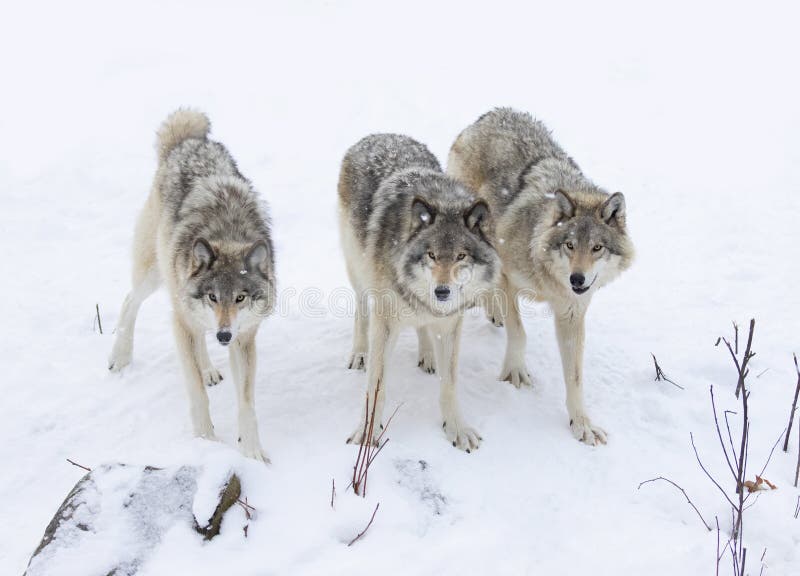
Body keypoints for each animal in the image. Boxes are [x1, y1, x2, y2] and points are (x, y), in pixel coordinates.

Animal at [108, 109, 276, 462]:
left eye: (240, 298)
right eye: (213, 296)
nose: (223, 335)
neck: (226, 232)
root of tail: (187, 140)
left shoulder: (244, 338)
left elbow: (247, 403)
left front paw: (252, 451)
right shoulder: (181, 323)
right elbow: (196, 391)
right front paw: (205, 441)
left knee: (200, 339)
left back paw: (210, 369)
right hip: (156, 275)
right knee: (130, 299)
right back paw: (120, 356)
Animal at [338, 134, 501, 451]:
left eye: (461, 256)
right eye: (432, 255)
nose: (442, 292)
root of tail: (380, 135)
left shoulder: (450, 325)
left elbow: (449, 385)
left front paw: (456, 429)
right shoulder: (385, 325)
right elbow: (376, 387)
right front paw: (367, 433)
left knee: (423, 328)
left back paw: (427, 356)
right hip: (357, 269)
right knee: (362, 308)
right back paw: (360, 353)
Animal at [448, 108, 634, 445]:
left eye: (597, 248)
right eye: (570, 245)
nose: (577, 280)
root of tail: (492, 113)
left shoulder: (572, 312)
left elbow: (575, 377)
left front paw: (582, 424)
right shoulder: (507, 277)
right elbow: (519, 332)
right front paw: (515, 373)